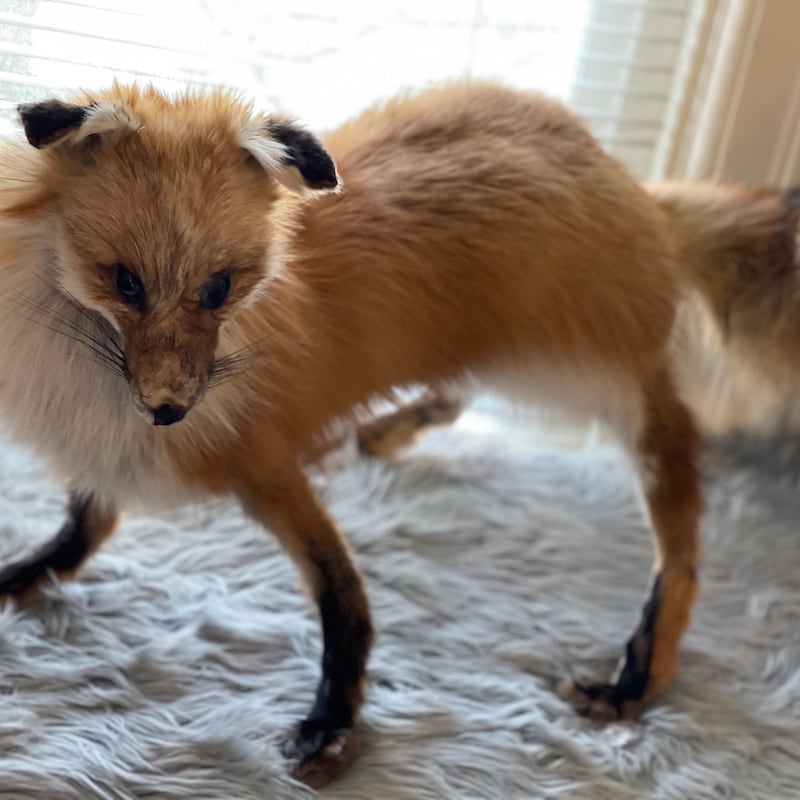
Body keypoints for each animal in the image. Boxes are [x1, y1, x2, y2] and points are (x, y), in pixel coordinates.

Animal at [0, 79, 794, 787]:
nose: (169, 411)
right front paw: (33, 573)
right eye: (125, 283)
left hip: (587, 370)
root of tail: (629, 182)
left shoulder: (264, 468)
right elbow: (86, 524)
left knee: (677, 477)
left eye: (220, 288)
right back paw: (389, 428)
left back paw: (641, 670)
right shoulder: (108, 447)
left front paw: (333, 725)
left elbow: (343, 596)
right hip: (516, 349)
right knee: (460, 393)